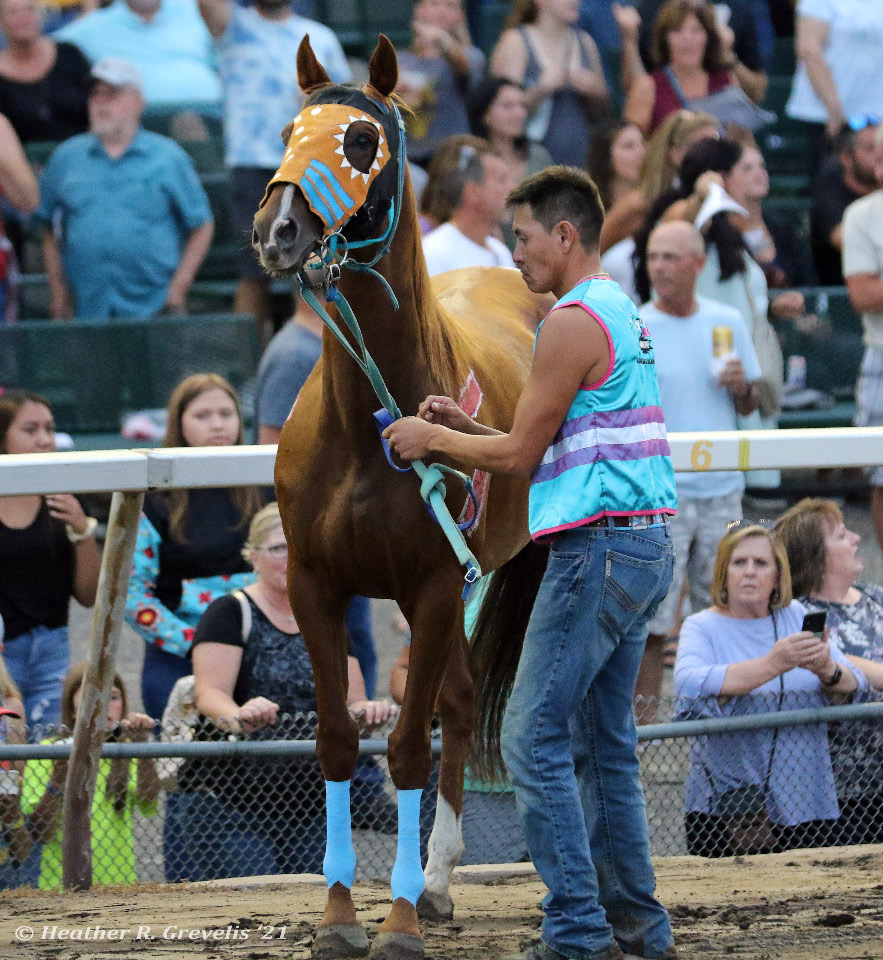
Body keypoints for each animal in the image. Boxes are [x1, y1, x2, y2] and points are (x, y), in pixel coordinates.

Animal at [251, 35, 548, 960]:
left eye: (359, 139)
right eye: (287, 130)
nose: (277, 230)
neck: (363, 422)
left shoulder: (431, 586)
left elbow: (411, 747)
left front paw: (401, 922)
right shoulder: (315, 584)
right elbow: (338, 741)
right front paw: (340, 914)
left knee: (460, 707)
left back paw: (444, 885)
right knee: (454, 697)